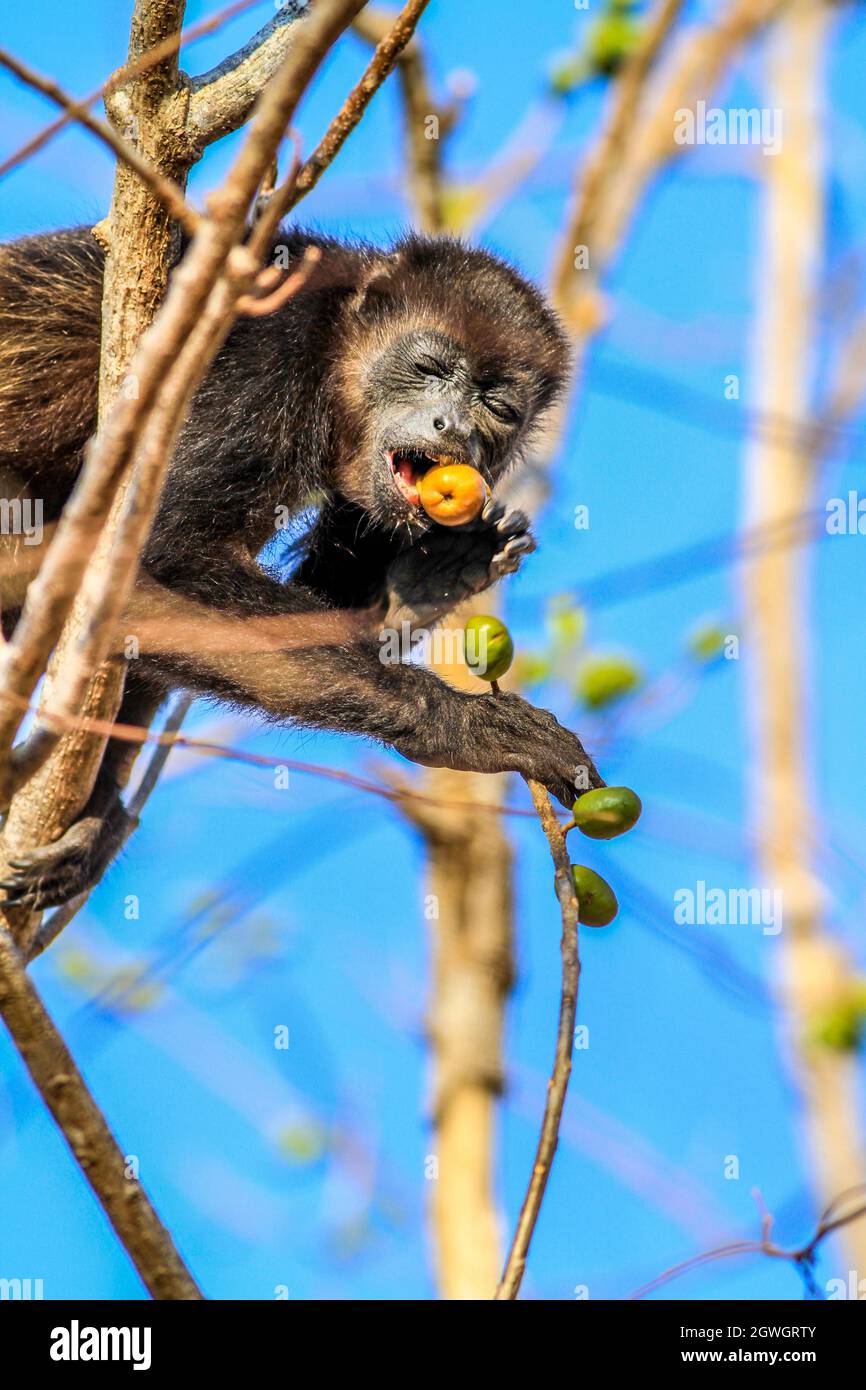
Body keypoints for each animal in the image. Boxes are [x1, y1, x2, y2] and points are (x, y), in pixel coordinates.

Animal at [0, 225, 604, 910]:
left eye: (498, 407)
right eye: (428, 369)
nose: (452, 427)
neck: (334, 354)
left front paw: (423, 582)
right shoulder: (266, 358)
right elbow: (162, 560)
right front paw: (469, 727)